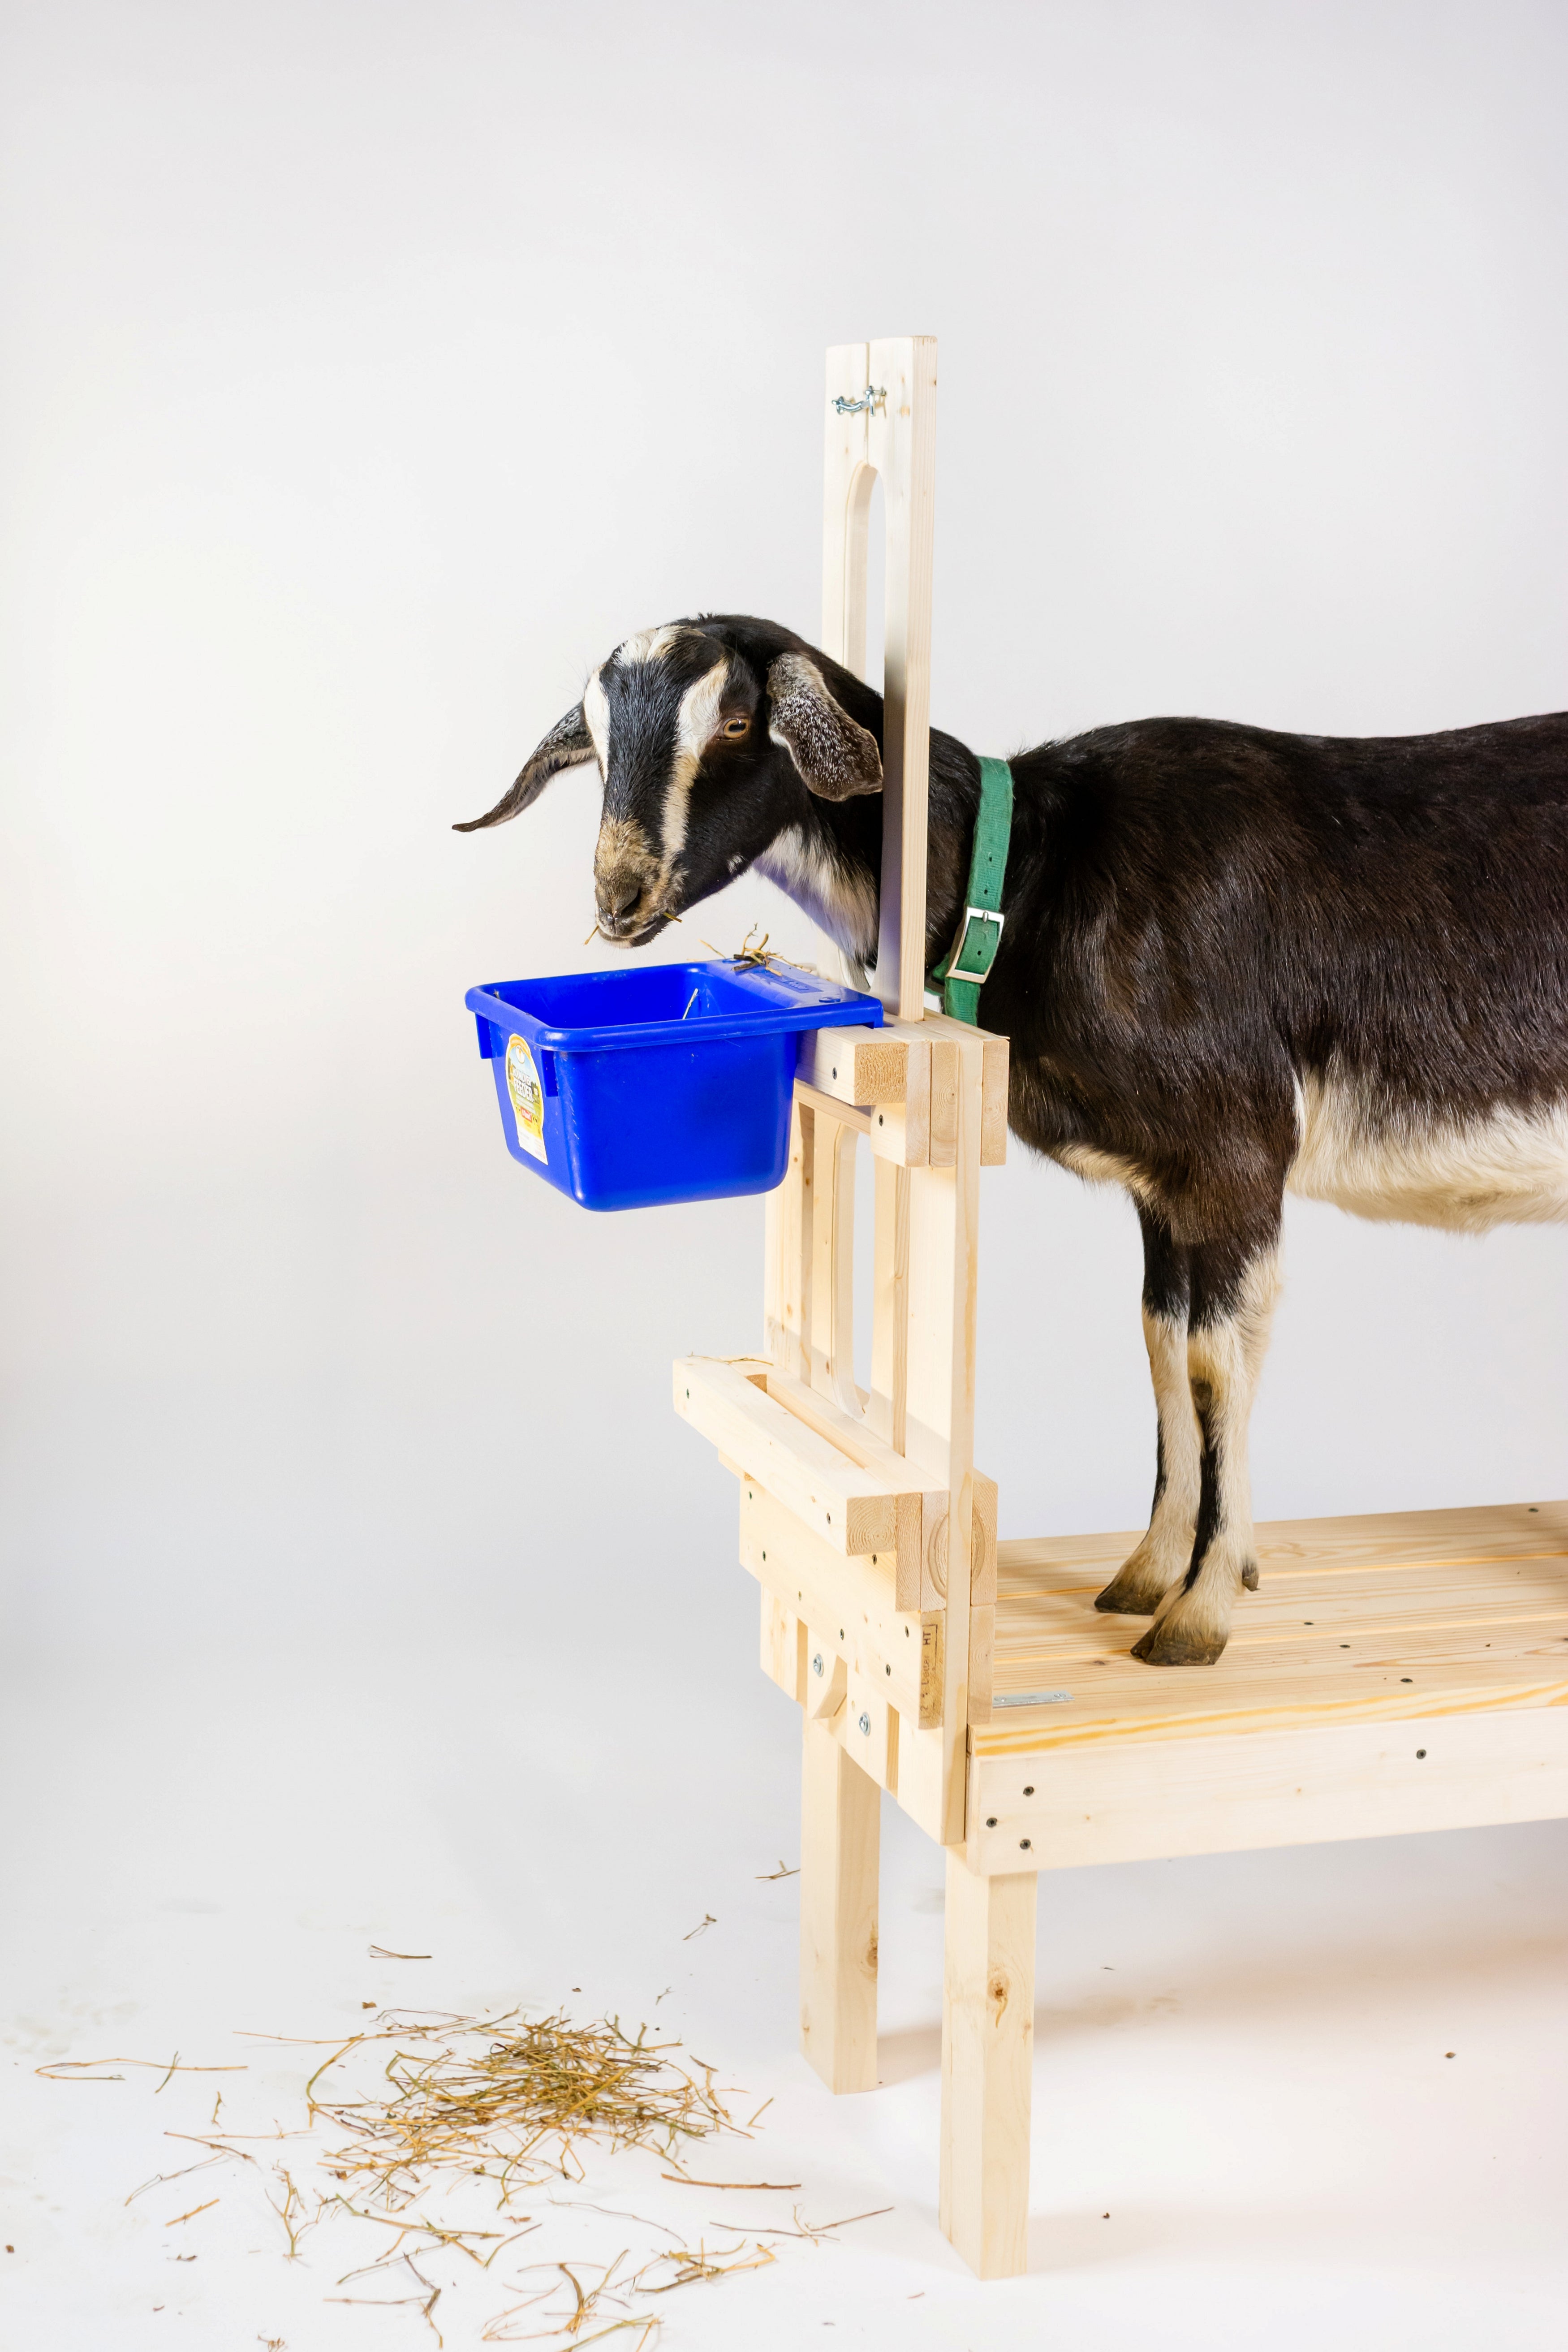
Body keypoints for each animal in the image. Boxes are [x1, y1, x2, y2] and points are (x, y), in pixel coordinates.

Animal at [456, 614, 1568, 1666]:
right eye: (597, 736)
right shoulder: (1164, 1187)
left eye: (733, 721)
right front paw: (1147, 1571)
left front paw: (1199, 1611)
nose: (619, 898)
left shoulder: (1235, 1157)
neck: (1026, 871)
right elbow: (1162, 1340)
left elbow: (1217, 1365)